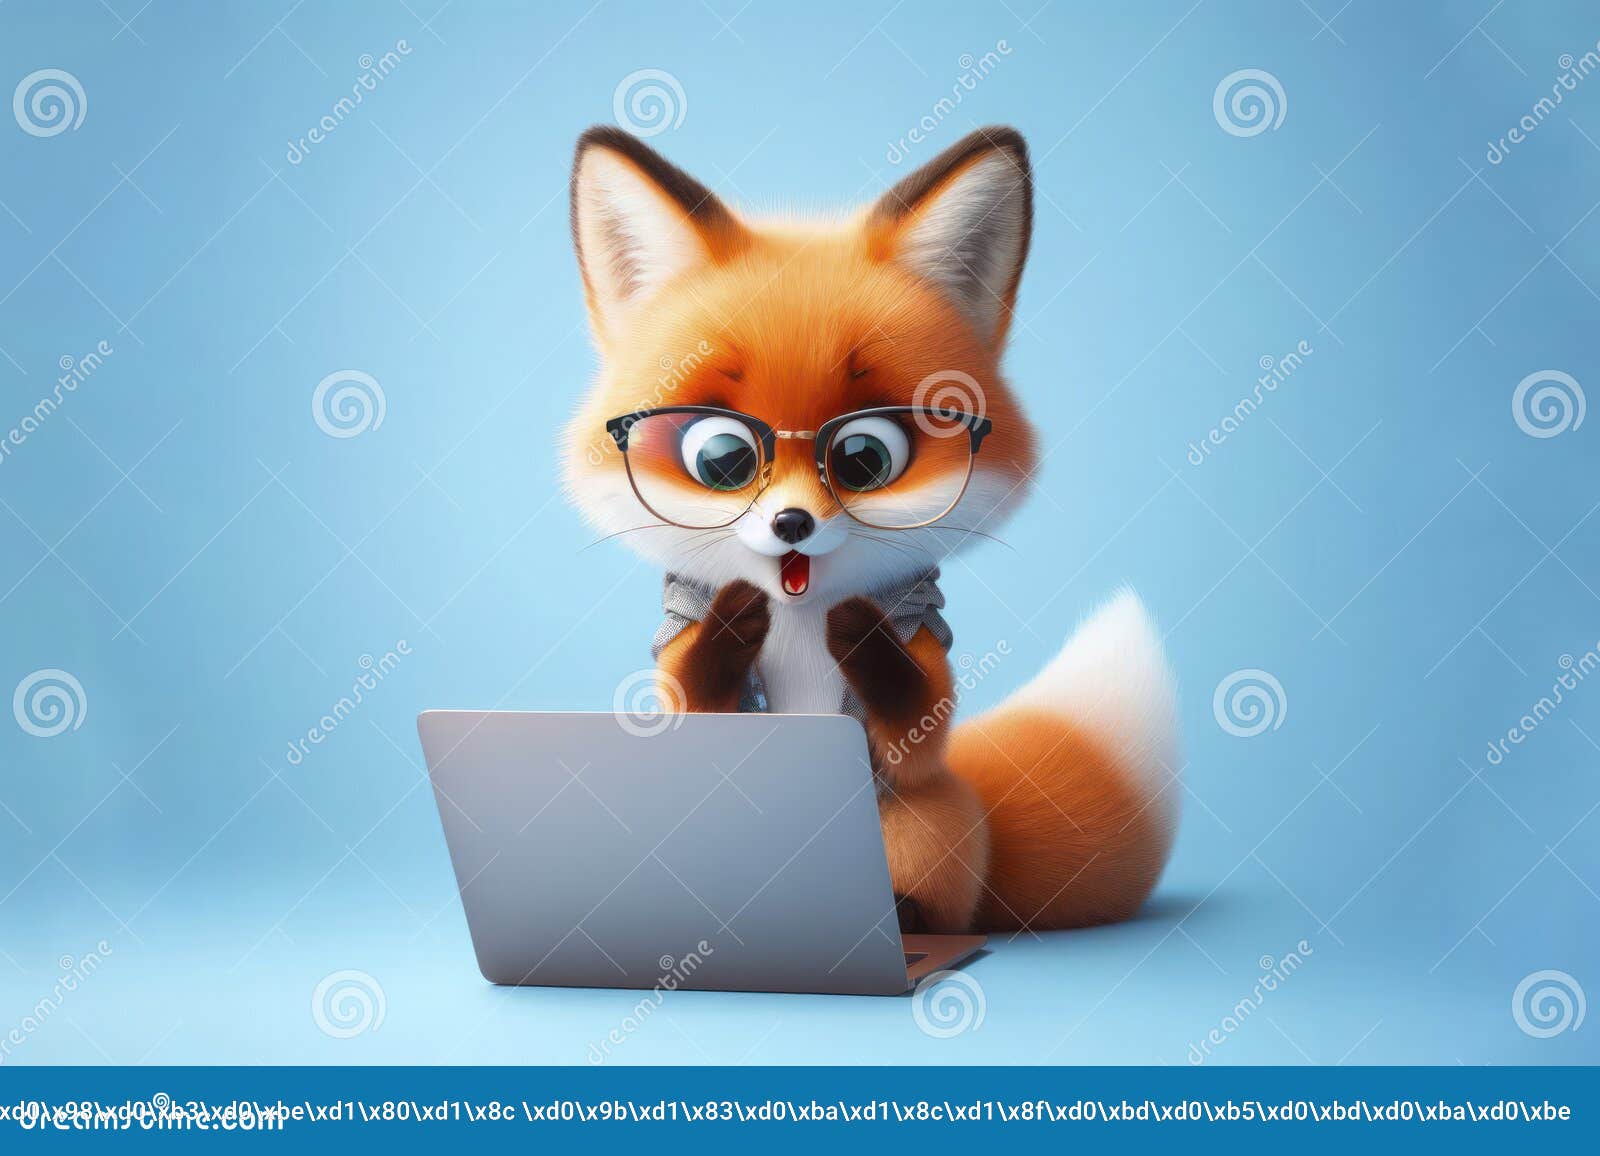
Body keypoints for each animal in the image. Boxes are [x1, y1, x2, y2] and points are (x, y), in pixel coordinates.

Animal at [562, 123, 1179, 934]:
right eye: (722, 457)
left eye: (864, 456)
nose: (792, 522)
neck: (798, 622)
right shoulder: (679, 645)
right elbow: (698, 696)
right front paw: (733, 621)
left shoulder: (923, 640)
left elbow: (914, 725)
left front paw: (858, 634)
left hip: (920, 824)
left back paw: (905, 915)